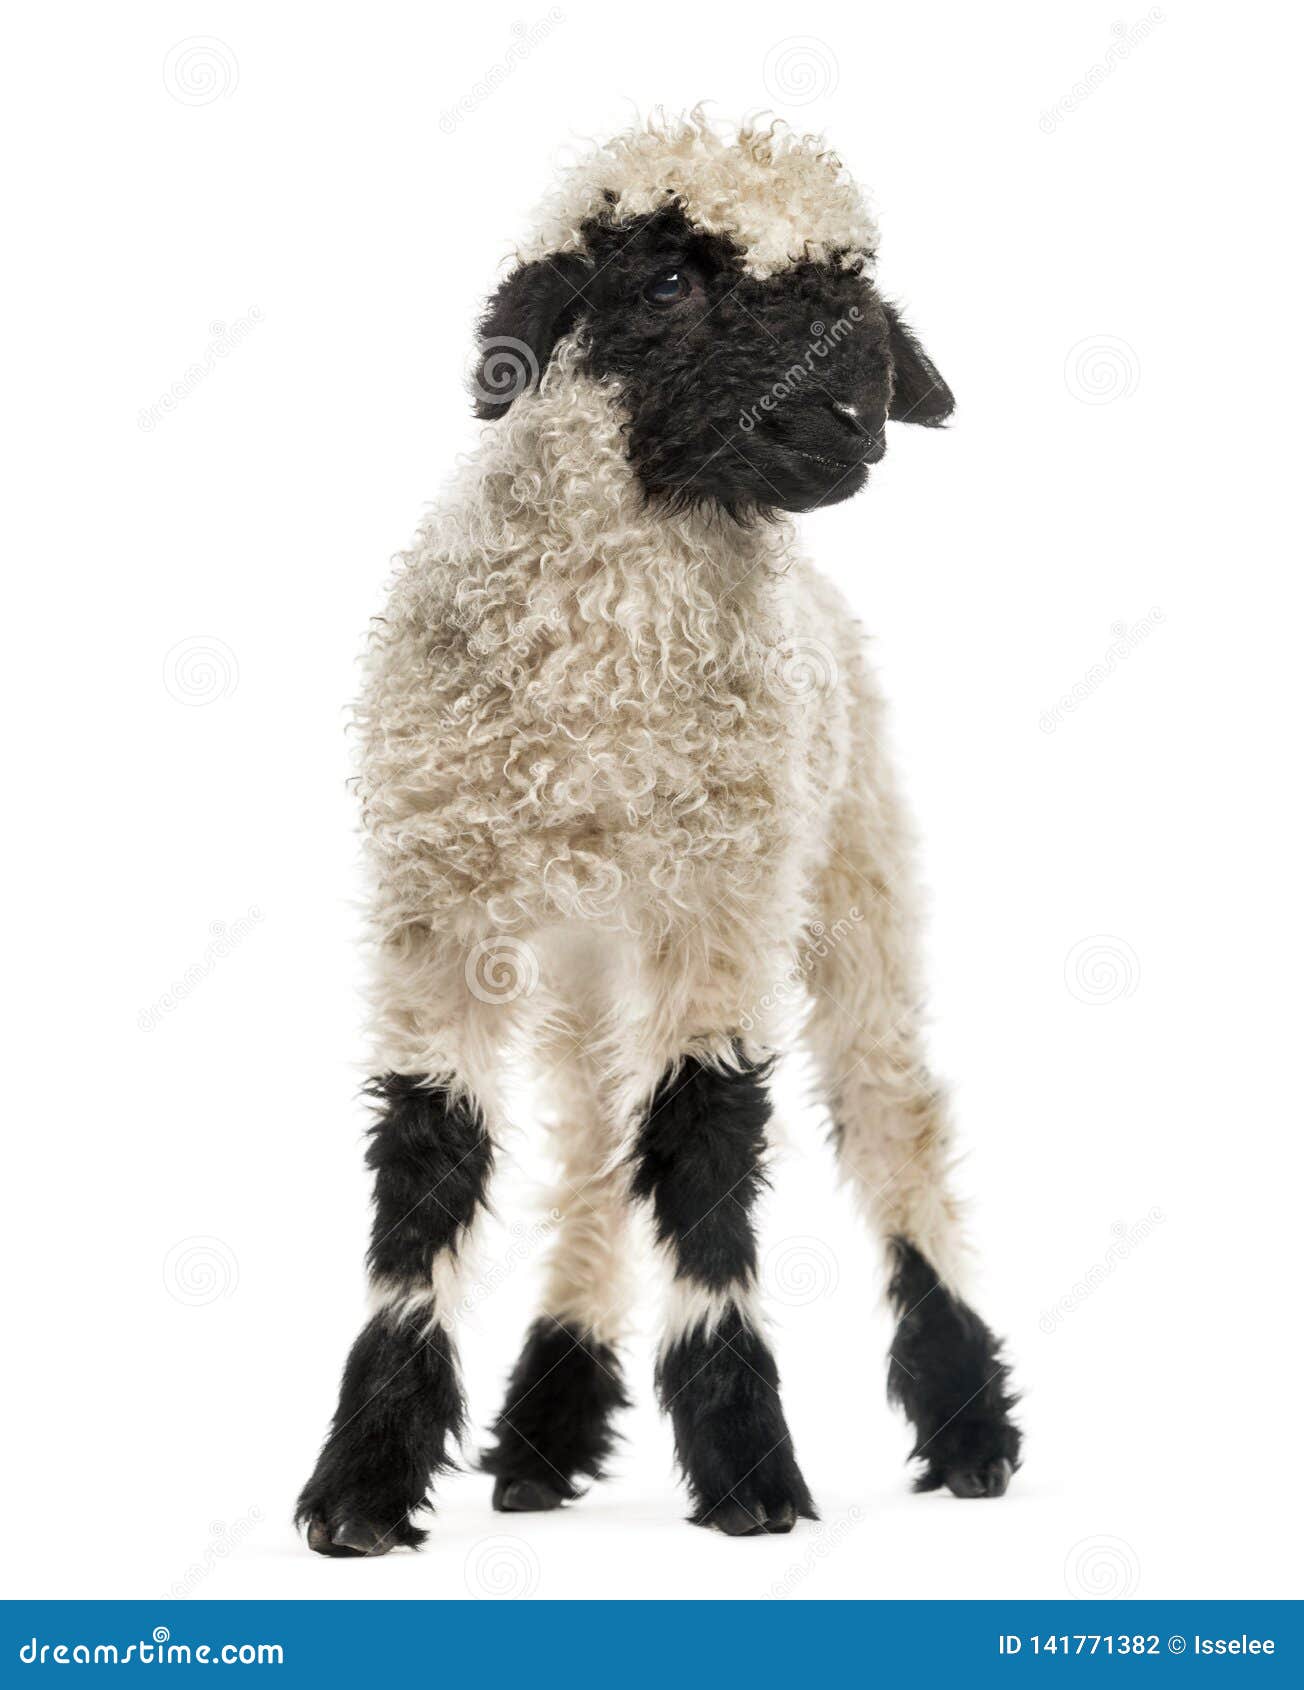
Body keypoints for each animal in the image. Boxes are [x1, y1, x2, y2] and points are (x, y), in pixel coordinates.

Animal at [297, 112, 1020, 1556]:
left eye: (852, 296)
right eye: (670, 283)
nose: (849, 415)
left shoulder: (722, 894)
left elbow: (703, 1143)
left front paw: (746, 1465)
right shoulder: (439, 899)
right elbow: (428, 1155)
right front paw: (360, 1484)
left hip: (851, 872)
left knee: (891, 1114)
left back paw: (970, 1425)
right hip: (583, 951)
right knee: (587, 1144)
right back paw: (545, 1425)